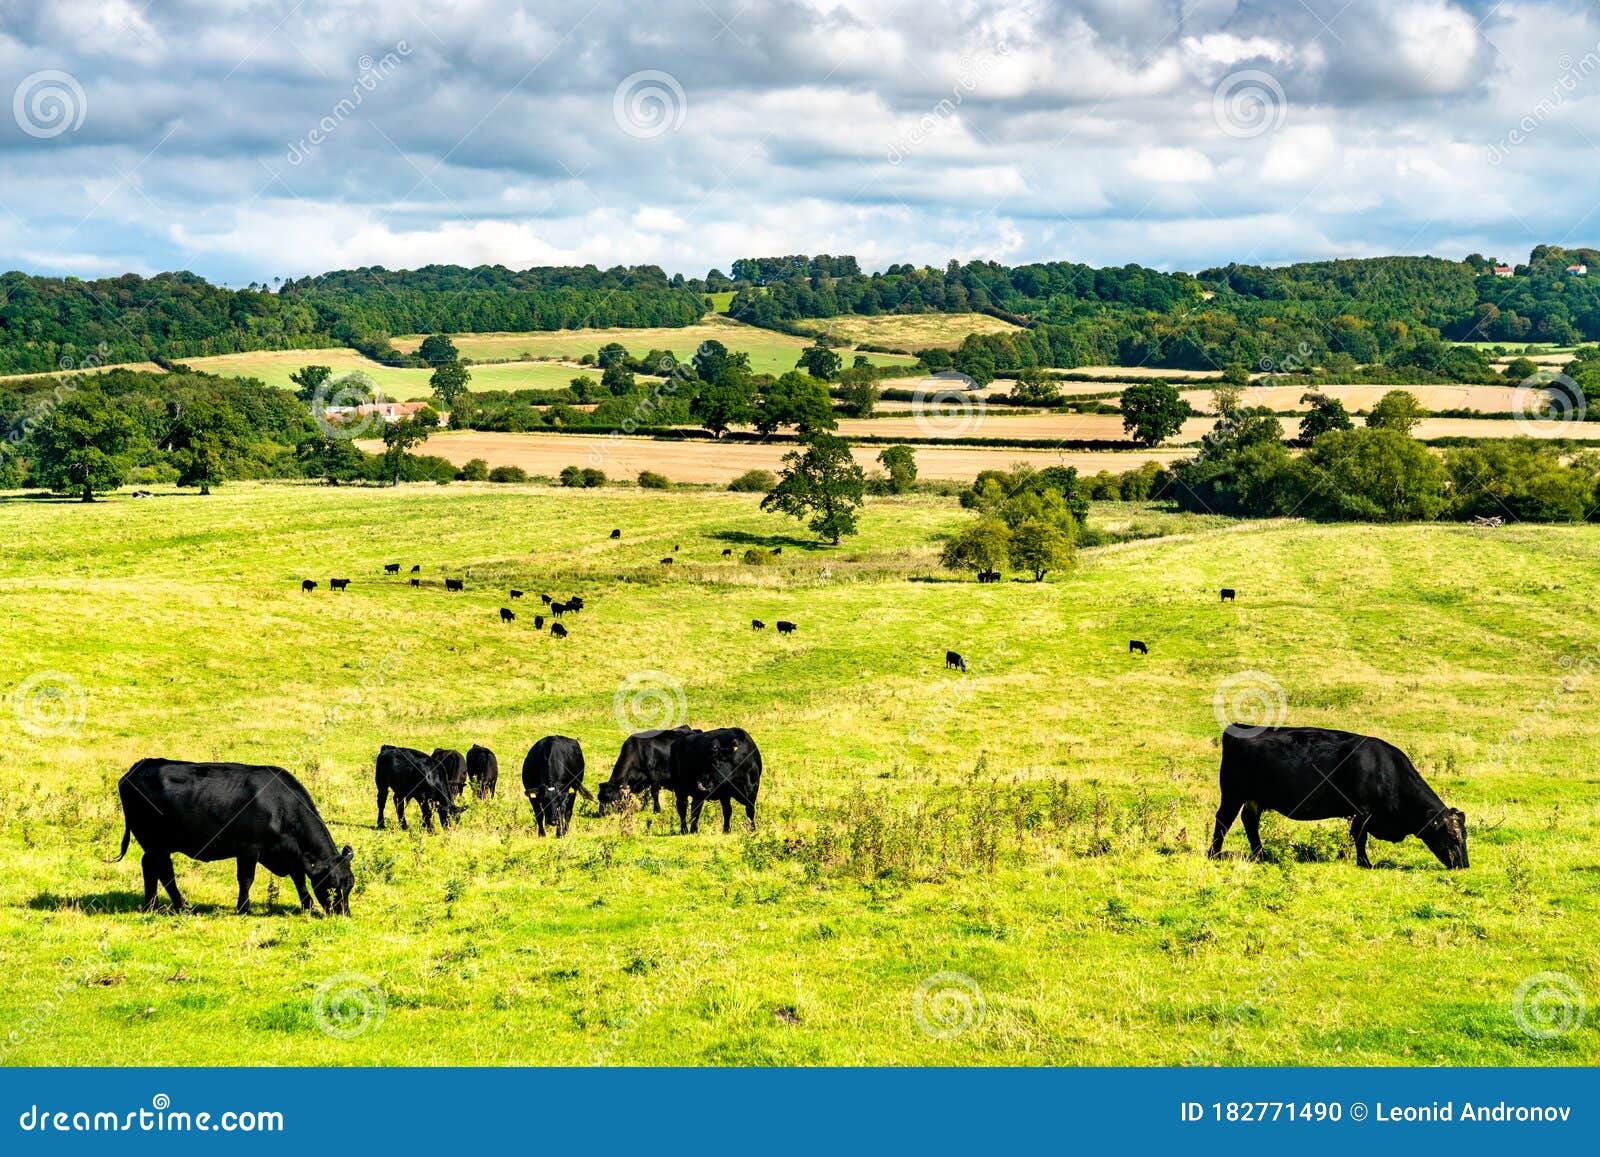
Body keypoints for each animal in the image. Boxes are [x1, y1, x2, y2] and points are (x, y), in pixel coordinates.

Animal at [117, 759, 353, 915]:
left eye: (350, 884)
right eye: (332, 885)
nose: (343, 914)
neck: (281, 806)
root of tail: (138, 767)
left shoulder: (293, 852)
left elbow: (299, 879)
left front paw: (309, 907)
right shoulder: (249, 849)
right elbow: (246, 879)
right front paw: (244, 908)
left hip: (159, 845)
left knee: (156, 868)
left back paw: (160, 904)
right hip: (154, 842)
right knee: (159, 870)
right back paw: (169, 905)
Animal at [1209, 726, 1468, 870]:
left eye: (1464, 836)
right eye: (1453, 837)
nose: (1464, 866)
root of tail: (1238, 728)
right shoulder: (1363, 812)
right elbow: (1359, 838)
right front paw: (1364, 863)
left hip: (1254, 799)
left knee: (1249, 822)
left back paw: (1259, 855)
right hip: (1232, 794)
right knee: (1223, 820)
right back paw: (1215, 854)